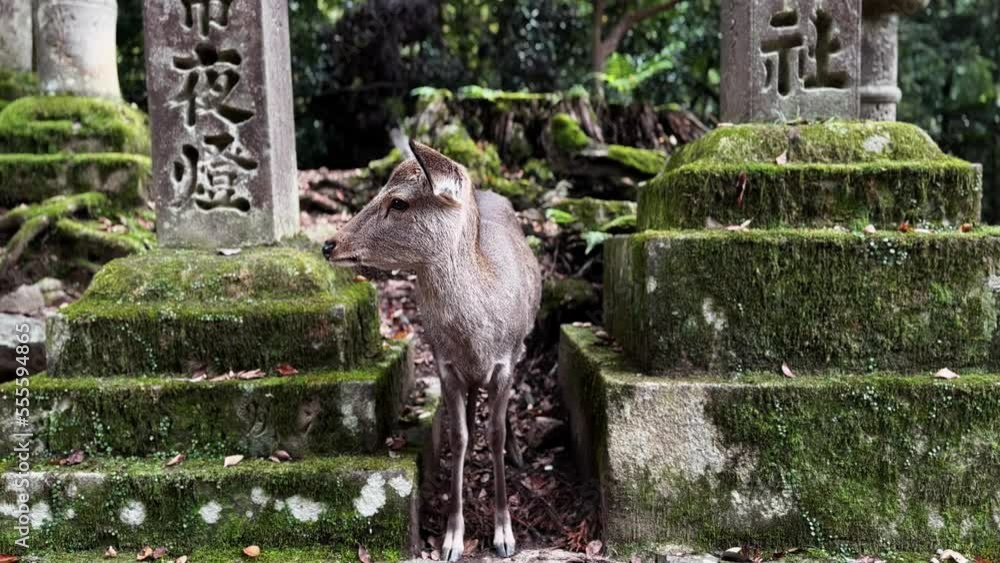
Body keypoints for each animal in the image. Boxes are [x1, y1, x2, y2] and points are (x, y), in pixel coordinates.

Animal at [323, 141, 541, 561]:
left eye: (399, 202)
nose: (329, 244)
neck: (478, 338)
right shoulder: (446, 366)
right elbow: (458, 437)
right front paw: (451, 538)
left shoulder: (505, 362)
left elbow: (495, 435)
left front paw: (504, 534)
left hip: (524, 342)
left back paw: (518, 451)